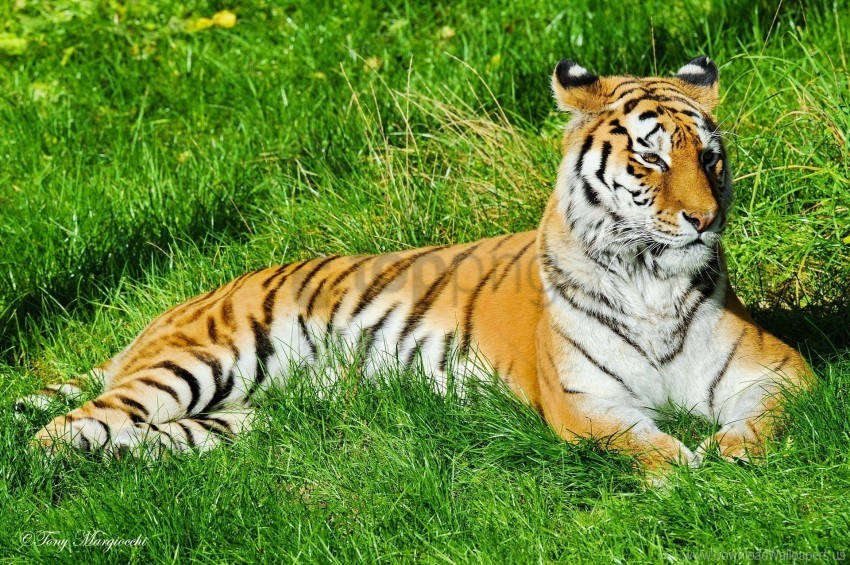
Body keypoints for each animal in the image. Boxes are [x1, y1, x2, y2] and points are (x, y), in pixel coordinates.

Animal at [16, 56, 813, 480]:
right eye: (650, 158)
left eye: (709, 157)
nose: (704, 219)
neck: (651, 280)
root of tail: (167, 312)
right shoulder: (584, 400)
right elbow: (643, 444)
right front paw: (683, 470)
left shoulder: (775, 368)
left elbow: (766, 418)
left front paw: (731, 454)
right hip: (194, 360)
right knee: (56, 431)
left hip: (232, 420)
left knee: (140, 436)